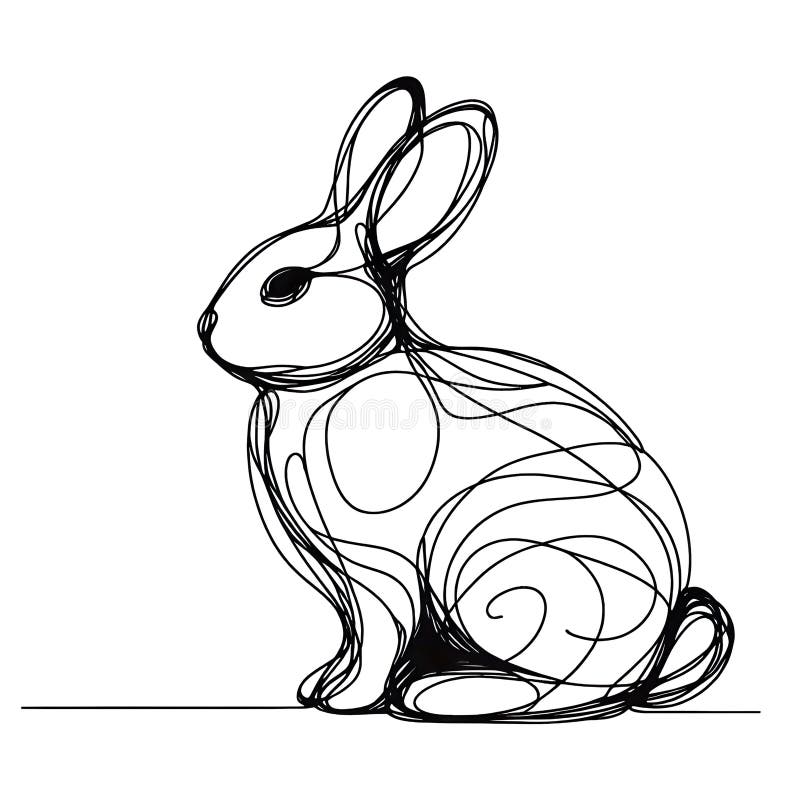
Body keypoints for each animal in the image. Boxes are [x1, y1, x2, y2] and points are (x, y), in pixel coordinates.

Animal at [198, 76, 733, 722]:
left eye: (284, 286)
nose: (205, 327)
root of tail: (648, 660)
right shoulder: (336, 575)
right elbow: (353, 634)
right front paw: (319, 686)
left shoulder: (379, 565)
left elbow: (381, 632)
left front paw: (350, 700)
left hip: (507, 574)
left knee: (565, 688)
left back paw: (443, 695)